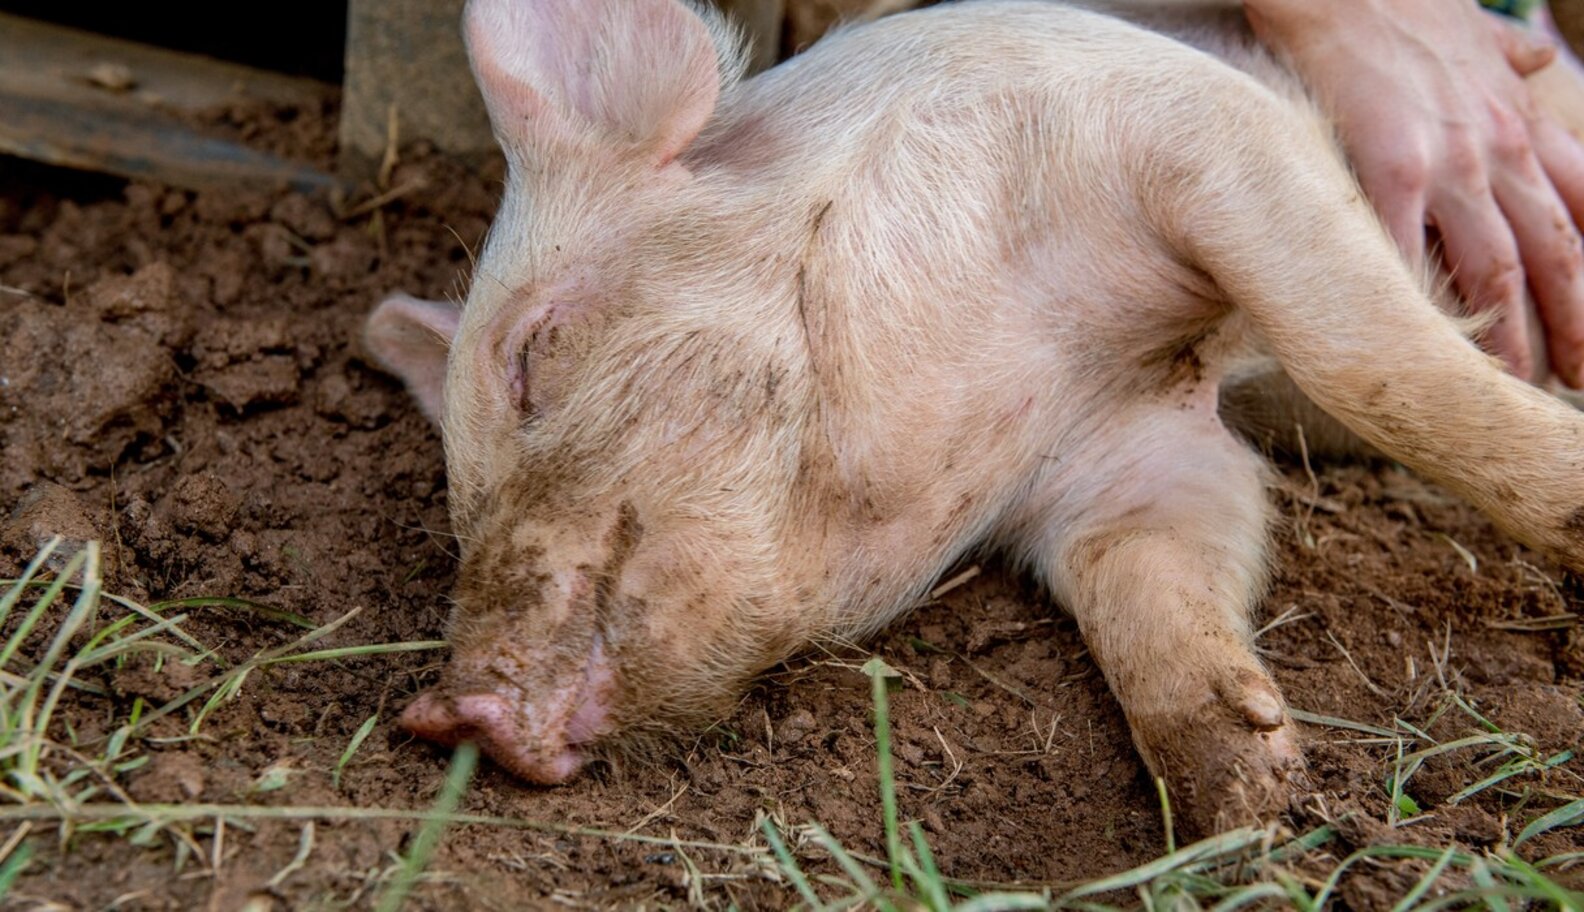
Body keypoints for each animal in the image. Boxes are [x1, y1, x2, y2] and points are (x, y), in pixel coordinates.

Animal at [363, 0, 1584, 835]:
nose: (450, 713)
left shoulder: (1206, 131)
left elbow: (1362, 360)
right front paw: (1249, 792)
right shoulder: (1131, 463)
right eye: (454, 491)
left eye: (530, 354)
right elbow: (1146, 580)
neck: (1047, 369)